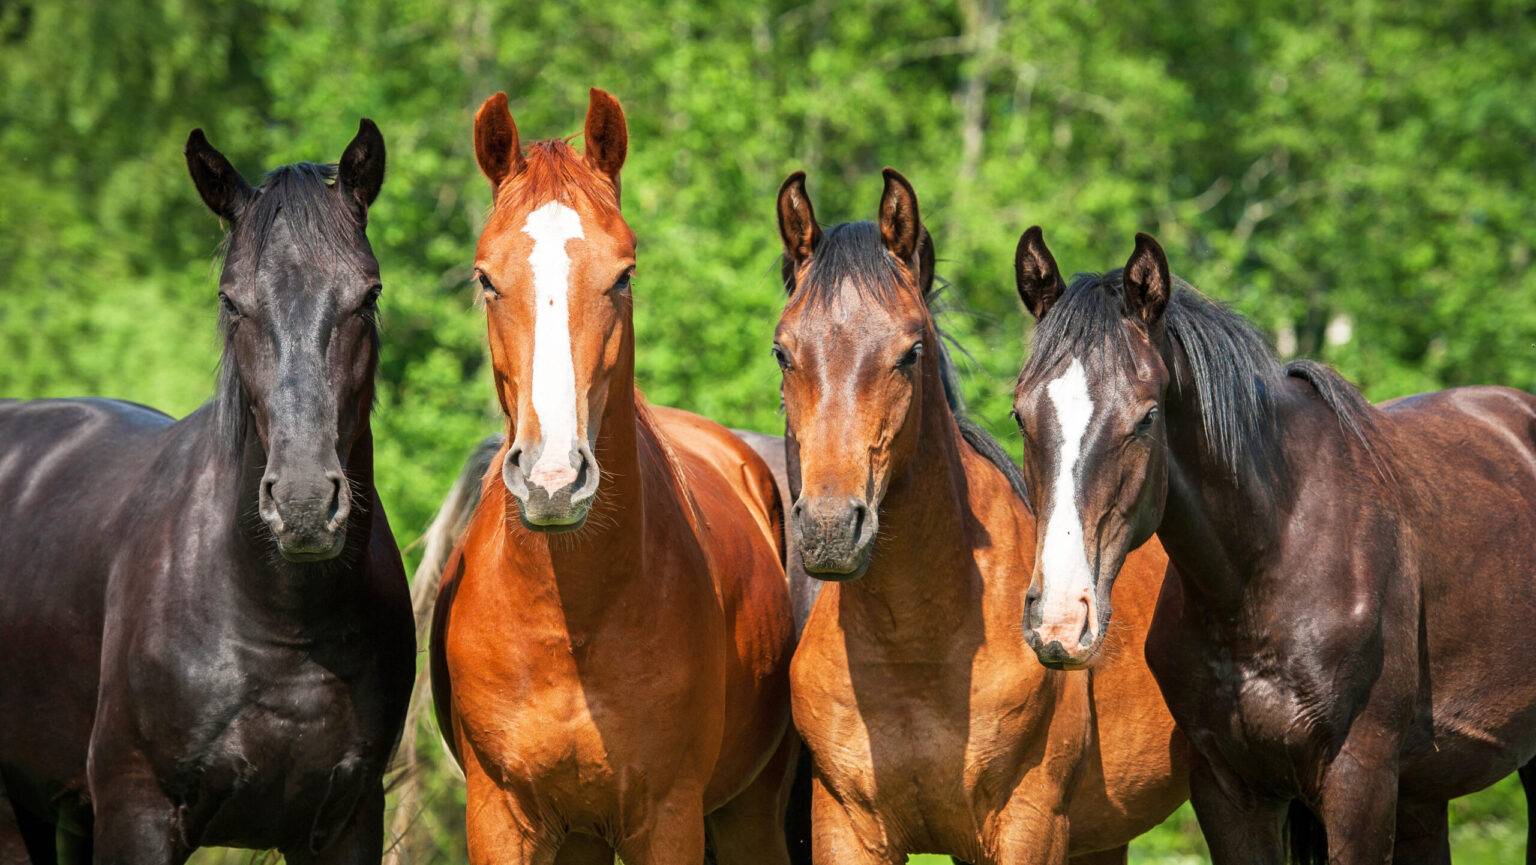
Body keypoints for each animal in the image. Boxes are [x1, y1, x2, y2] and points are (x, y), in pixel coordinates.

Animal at [0, 121, 415, 864]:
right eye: (230, 300)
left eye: (367, 295)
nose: (304, 506)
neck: (281, 621)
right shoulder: (138, 815)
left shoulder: (347, 823)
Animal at [428, 88, 798, 865]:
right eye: (485, 278)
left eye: (622, 274)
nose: (553, 480)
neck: (570, 625)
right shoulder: (502, 820)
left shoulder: (668, 818)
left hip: (747, 814)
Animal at [773, 169, 1188, 865]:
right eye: (782, 351)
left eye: (911, 351)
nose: (830, 529)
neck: (914, 649)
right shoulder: (844, 827)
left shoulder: (1029, 825)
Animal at [1008, 228, 1536, 863]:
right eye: (1020, 415)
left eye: (1148, 416)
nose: (1061, 621)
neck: (1265, 570)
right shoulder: (1228, 789)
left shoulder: (1360, 781)